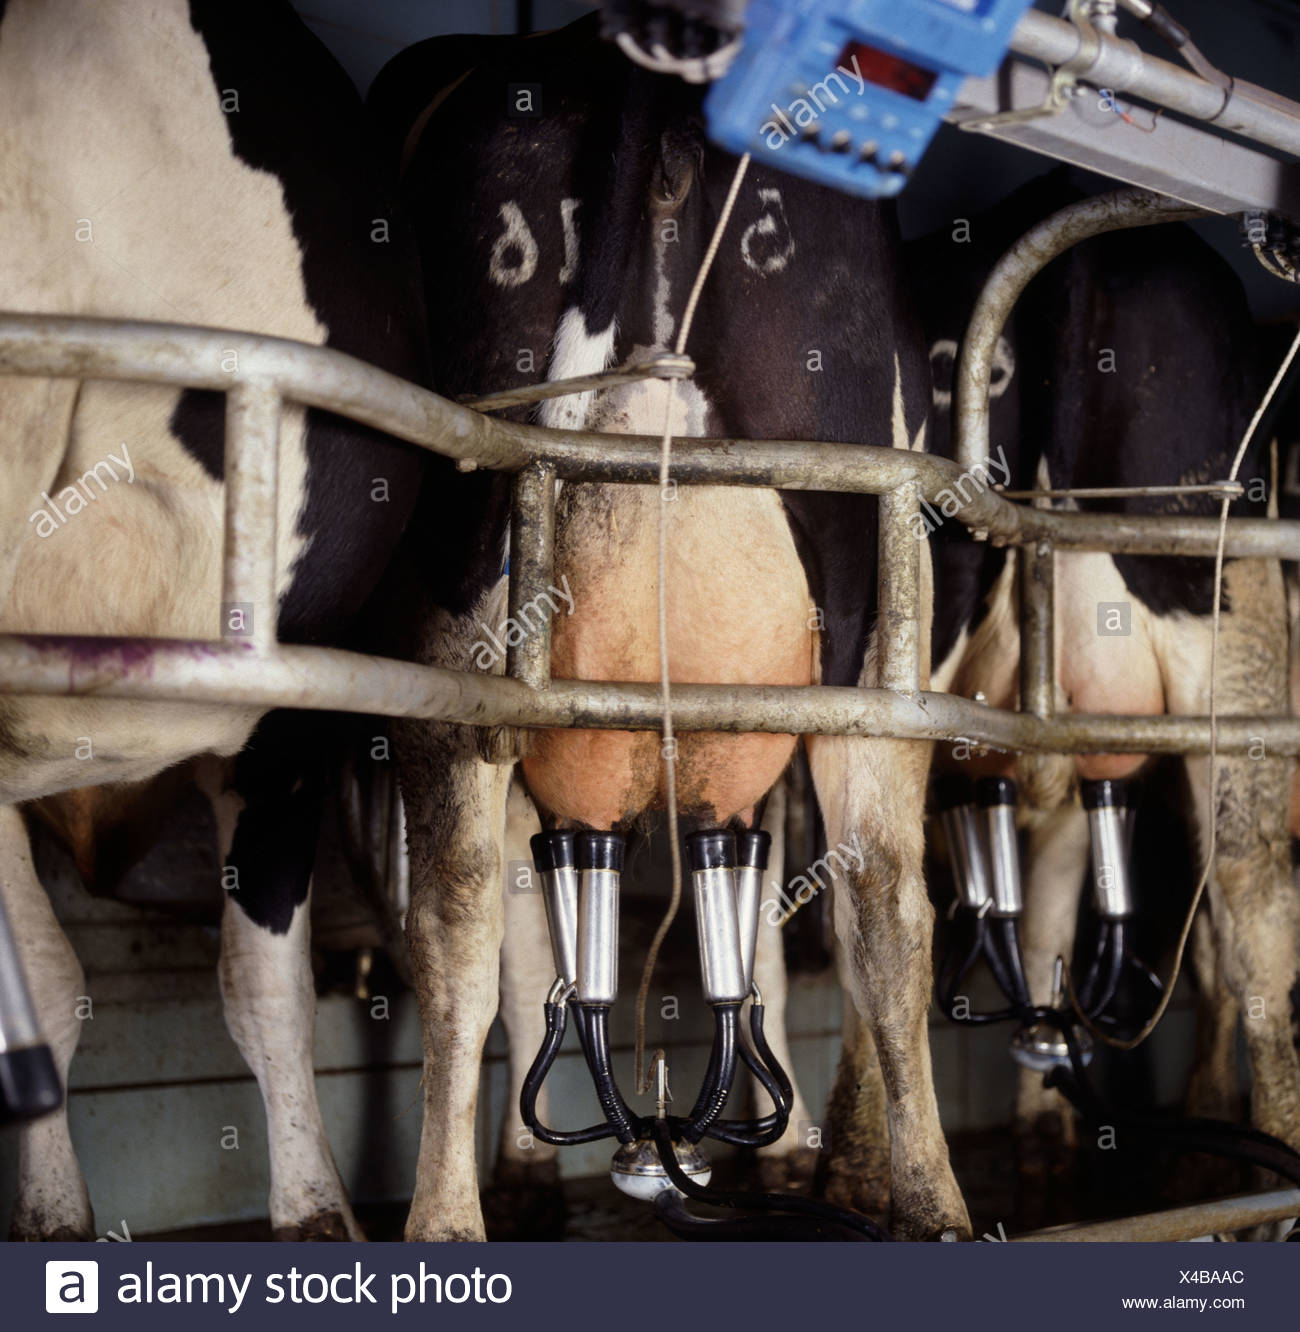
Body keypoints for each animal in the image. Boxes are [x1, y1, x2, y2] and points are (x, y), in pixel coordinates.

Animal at [367, 12, 970, 1241]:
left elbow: (517, 939)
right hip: (881, 592)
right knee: (886, 899)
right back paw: (924, 1199)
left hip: (456, 614)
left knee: (456, 918)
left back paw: (446, 1222)